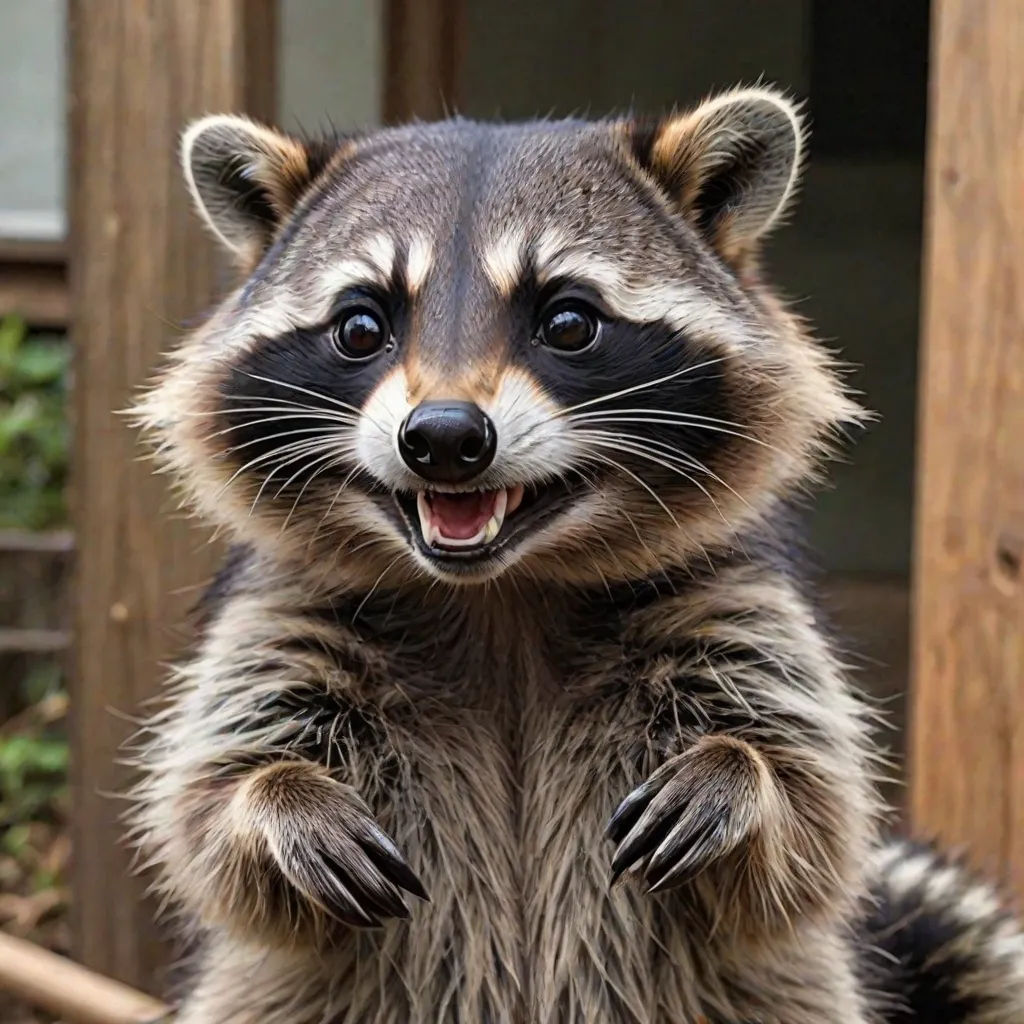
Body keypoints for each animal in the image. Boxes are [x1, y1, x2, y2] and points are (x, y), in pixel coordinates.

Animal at [131, 87, 1024, 1023]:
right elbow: (205, 806)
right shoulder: (280, 608)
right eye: (360, 326)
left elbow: (815, 804)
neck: (503, 589)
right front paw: (275, 798)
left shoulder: (737, 597)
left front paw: (738, 771)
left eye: (567, 321)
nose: (443, 439)